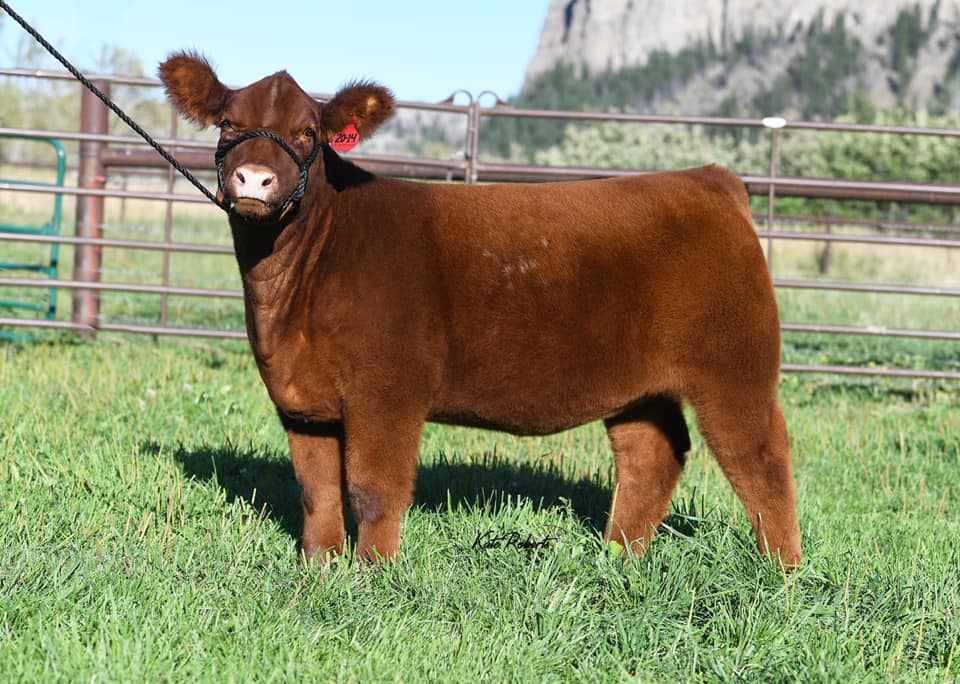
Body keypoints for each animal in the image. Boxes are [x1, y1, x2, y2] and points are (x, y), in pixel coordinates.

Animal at [159, 52, 802, 567]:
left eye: (308, 133)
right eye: (229, 123)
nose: (255, 179)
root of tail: (709, 181)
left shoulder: (387, 393)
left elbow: (372, 487)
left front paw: (373, 575)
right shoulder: (301, 400)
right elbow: (316, 489)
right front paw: (318, 568)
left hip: (735, 369)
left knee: (762, 459)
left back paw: (782, 574)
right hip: (640, 386)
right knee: (652, 454)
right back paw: (619, 558)